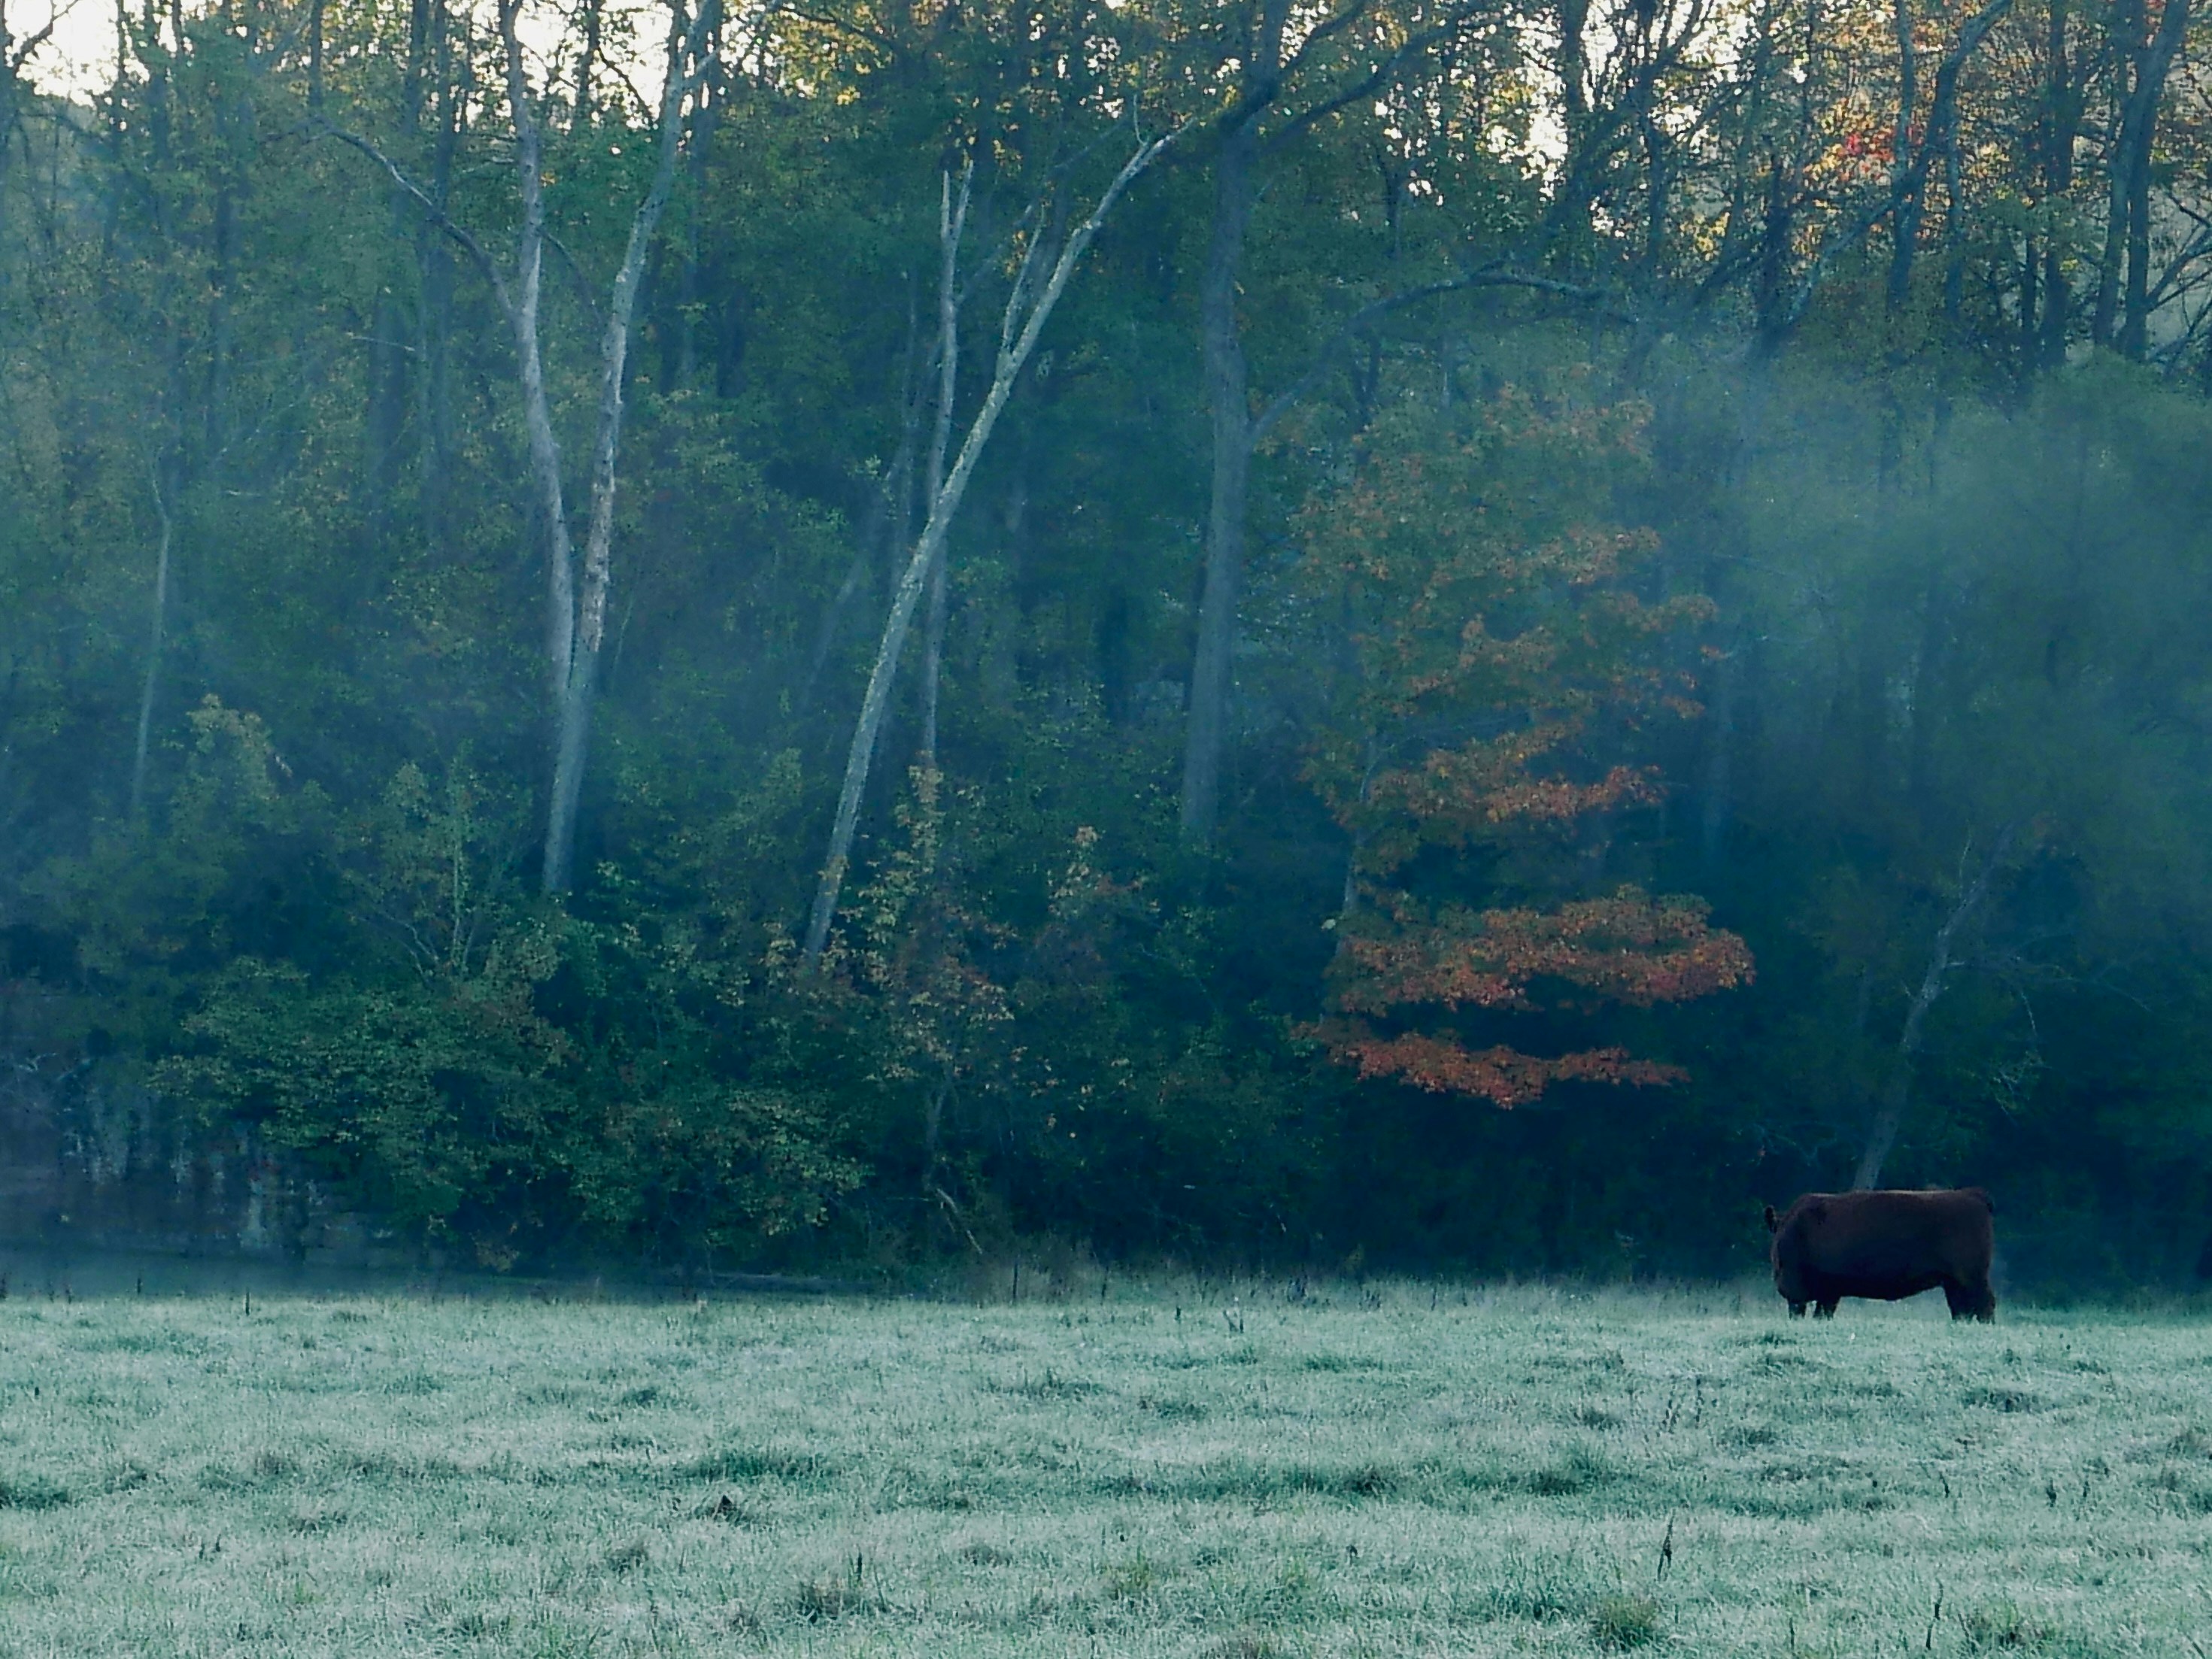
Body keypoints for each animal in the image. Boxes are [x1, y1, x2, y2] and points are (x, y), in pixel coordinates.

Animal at [1763, 1187, 1996, 1321]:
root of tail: (1971, 1193)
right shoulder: (1829, 1291)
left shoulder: (1797, 1290)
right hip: (1954, 1282)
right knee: (1962, 1310)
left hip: (1972, 1277)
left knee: (1985, 1305)